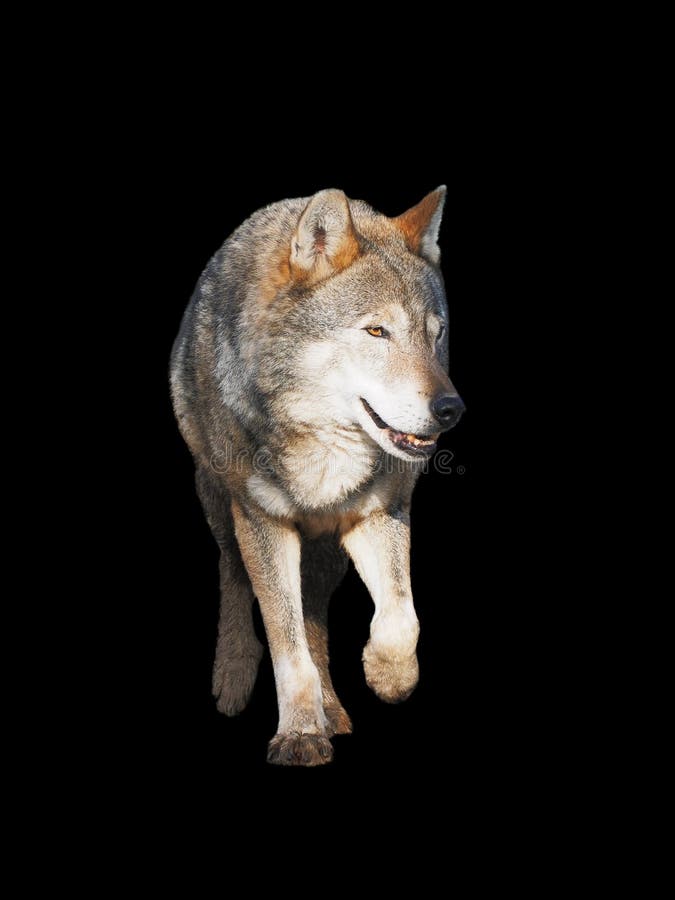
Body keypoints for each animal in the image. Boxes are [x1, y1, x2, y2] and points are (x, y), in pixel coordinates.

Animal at [170, 187, 464, 766]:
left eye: (435, 335)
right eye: (376, 330)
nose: (451, 409)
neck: (325, 452)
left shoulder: (381, 512)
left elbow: (400, 618)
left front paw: (388, 677)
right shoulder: (263, 521)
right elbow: (287, 646)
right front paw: (300, 734)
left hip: (326, 555)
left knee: (314, 617)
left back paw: (333, 708)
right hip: (221, 509)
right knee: (234, 579)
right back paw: (234, 675)